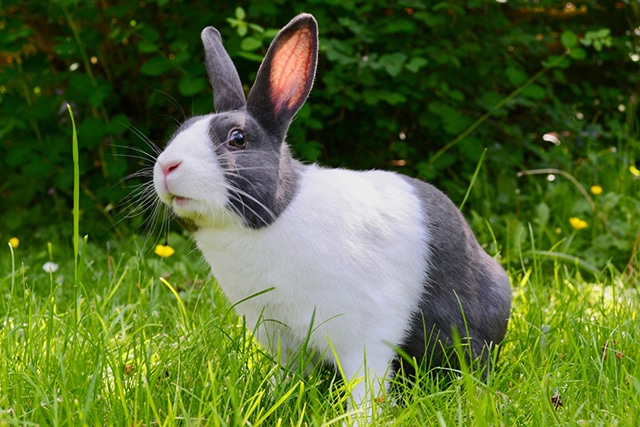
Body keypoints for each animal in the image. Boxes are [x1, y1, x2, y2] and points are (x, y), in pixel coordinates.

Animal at [153, 13, 511, 416]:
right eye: (181, 129)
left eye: (237, 139)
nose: (166, 166)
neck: (274, 217)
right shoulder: (278, 334)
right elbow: (288, 374)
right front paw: (274, 400)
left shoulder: (363, 333)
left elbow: (366, 382)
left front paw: (360, 419)